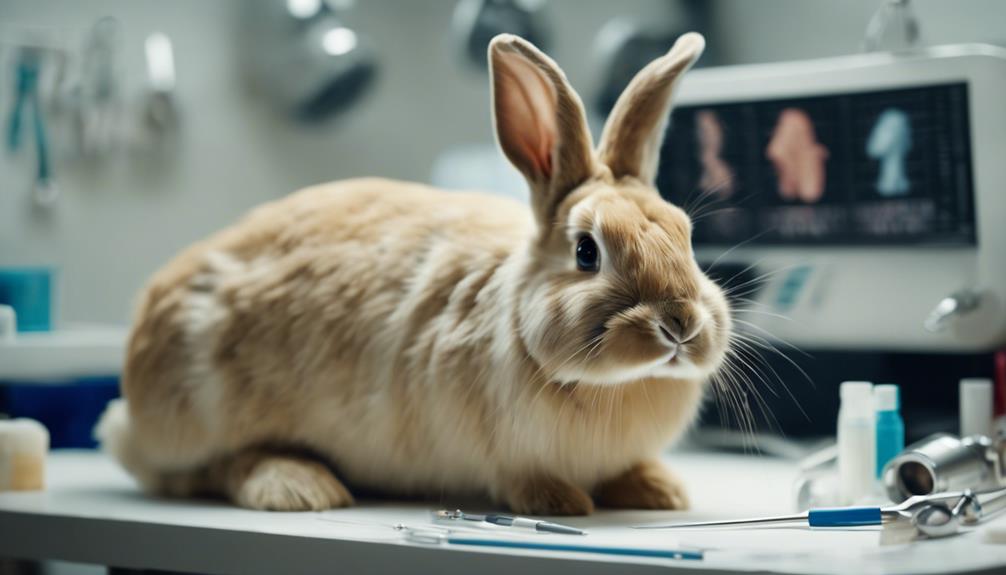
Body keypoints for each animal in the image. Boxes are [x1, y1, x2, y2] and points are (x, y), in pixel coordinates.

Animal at [97, 31, 731, 515]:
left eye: (685, 235)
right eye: (586, 252)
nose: (680, 324)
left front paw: (659, 489)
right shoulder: (504, 456)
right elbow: (526, 482)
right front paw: (564, 503)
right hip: (200, 415)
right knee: (211, 468)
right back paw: (302, 488)